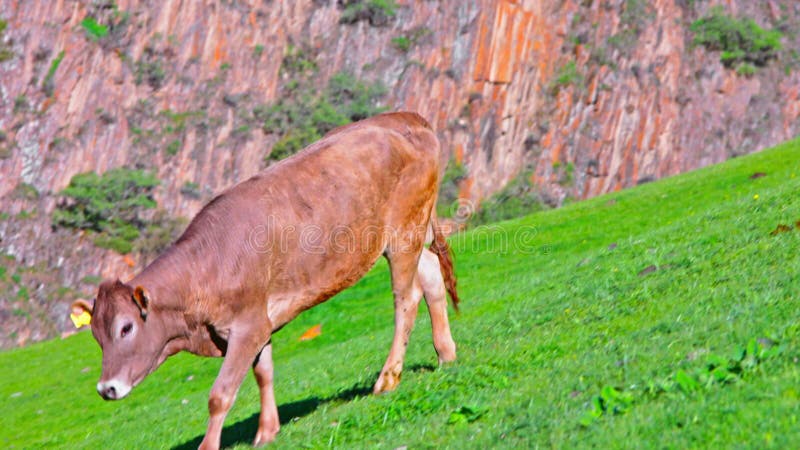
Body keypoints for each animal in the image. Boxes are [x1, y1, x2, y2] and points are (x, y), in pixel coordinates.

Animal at [71, 112, 460, 449]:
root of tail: (402, 117)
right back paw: (446, 354)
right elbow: (264, 373)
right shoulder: (258, 321)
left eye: (126, 328)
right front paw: (267, 431)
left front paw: (209, 445)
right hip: (414, 229)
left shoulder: (248, 326)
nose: (106, 388)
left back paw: (388, 378)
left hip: (403, 231)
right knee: (430, 274)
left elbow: (220, 394)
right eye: (95, 336)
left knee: (406, 298)